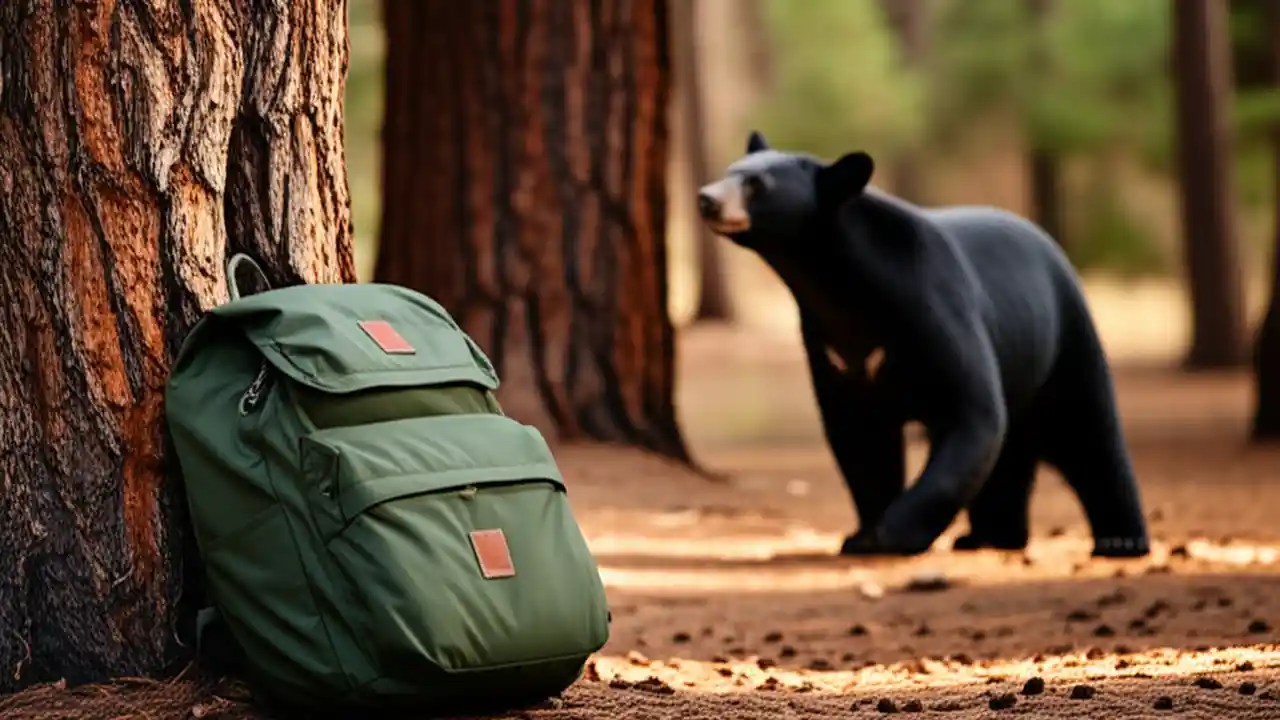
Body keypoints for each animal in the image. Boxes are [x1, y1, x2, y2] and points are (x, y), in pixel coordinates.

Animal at [696, 130, 1150, 558]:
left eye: (756, 184)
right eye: (730, 170)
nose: (705, 199)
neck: (838, 283)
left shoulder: (932, 307)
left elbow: (972, 414)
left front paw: (893, 533)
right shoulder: (828, 345)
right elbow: (860, 439)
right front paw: (861, 535)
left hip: (1067, 336)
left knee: (1089, 432)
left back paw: (1120, 541)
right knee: (1013, 450)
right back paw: (990, 537)